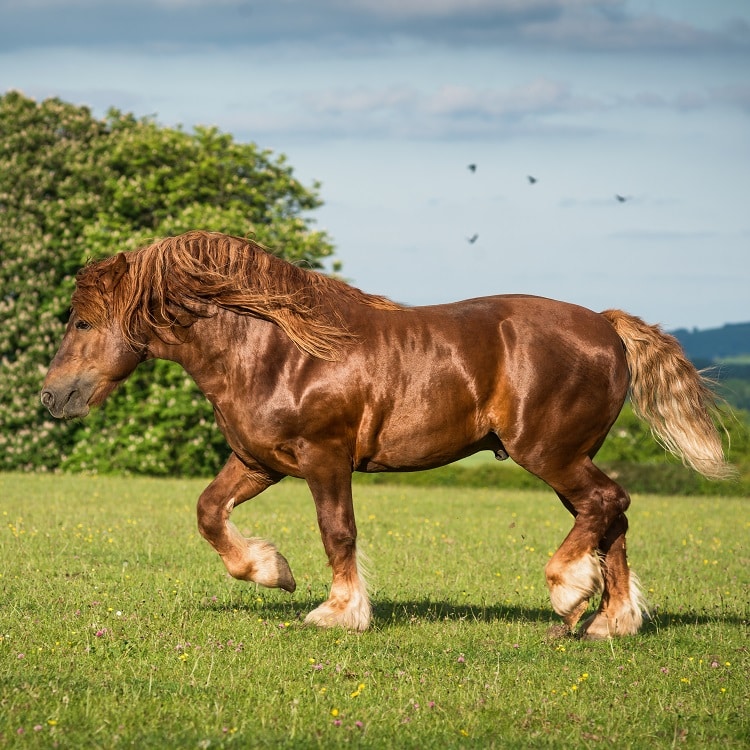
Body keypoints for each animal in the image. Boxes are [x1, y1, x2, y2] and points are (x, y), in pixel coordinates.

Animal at [41, 231, 736, 640]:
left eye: (82, 322)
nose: (51, 397)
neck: (275, 349)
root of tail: (606, 325)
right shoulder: (259, 461)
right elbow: (209, 512)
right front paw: (271, 571)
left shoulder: (324, 458)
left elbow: (338, 531)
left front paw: (338, 612)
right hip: (568, 457)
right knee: (610, 517)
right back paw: (609, 622)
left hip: (549, 453)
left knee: (608, 504)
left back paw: (570, 595)